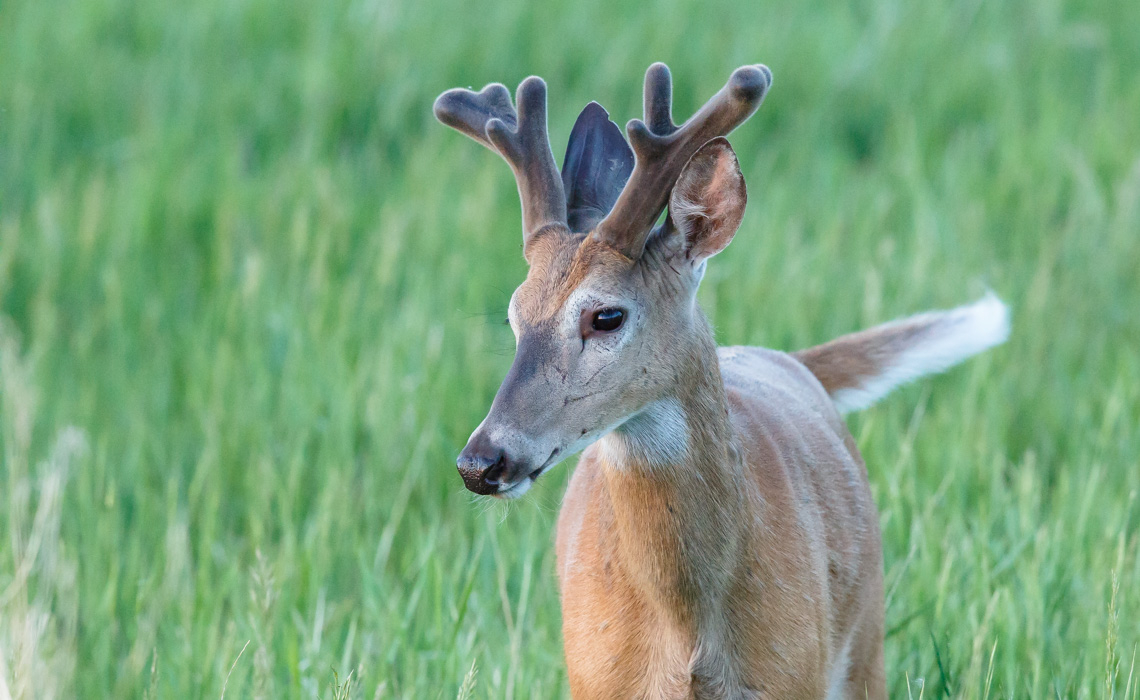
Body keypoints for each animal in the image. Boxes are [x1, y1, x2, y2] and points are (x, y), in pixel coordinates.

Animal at [435, 62, 1009, 699]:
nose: (480, 461)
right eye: (514, 314)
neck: (686, 627)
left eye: (606, 316)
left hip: (865, 642)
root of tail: (783, 356)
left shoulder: (793, 674)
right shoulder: (594, 677)